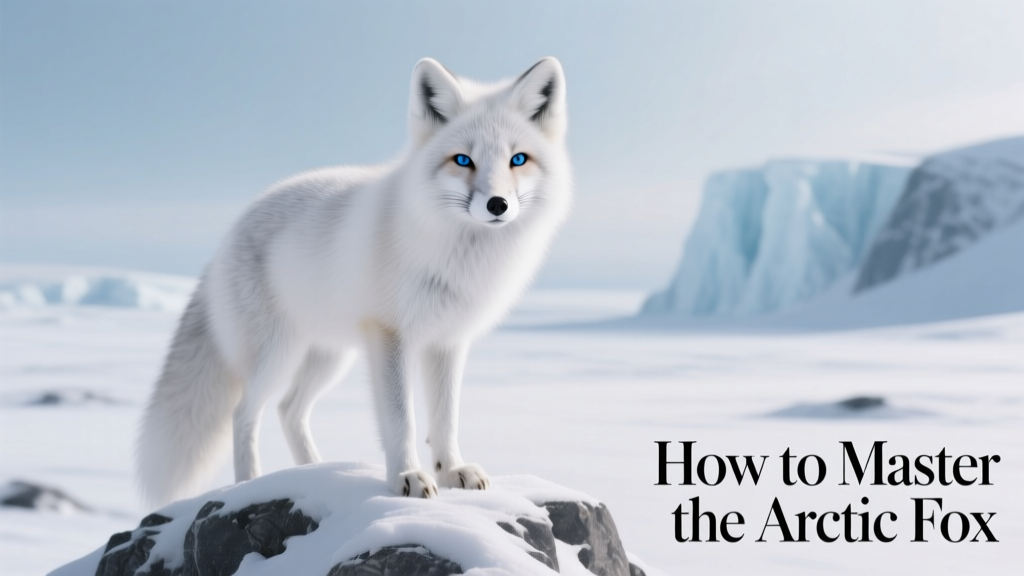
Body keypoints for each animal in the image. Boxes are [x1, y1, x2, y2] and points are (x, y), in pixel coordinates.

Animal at [135, 57, 572, 507]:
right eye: (463, 160)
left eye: (518, 159)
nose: (497, 205)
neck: (457, 252)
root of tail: (227, 236)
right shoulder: (391, 334)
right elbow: (401, 419)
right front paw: (407, 477)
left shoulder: (447, 340)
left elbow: (445, 417)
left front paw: (452, 470)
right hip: (279, 355)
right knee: (244, 413)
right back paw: (248, 484)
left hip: (329, 358)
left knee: (289, 410)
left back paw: (312, 473)